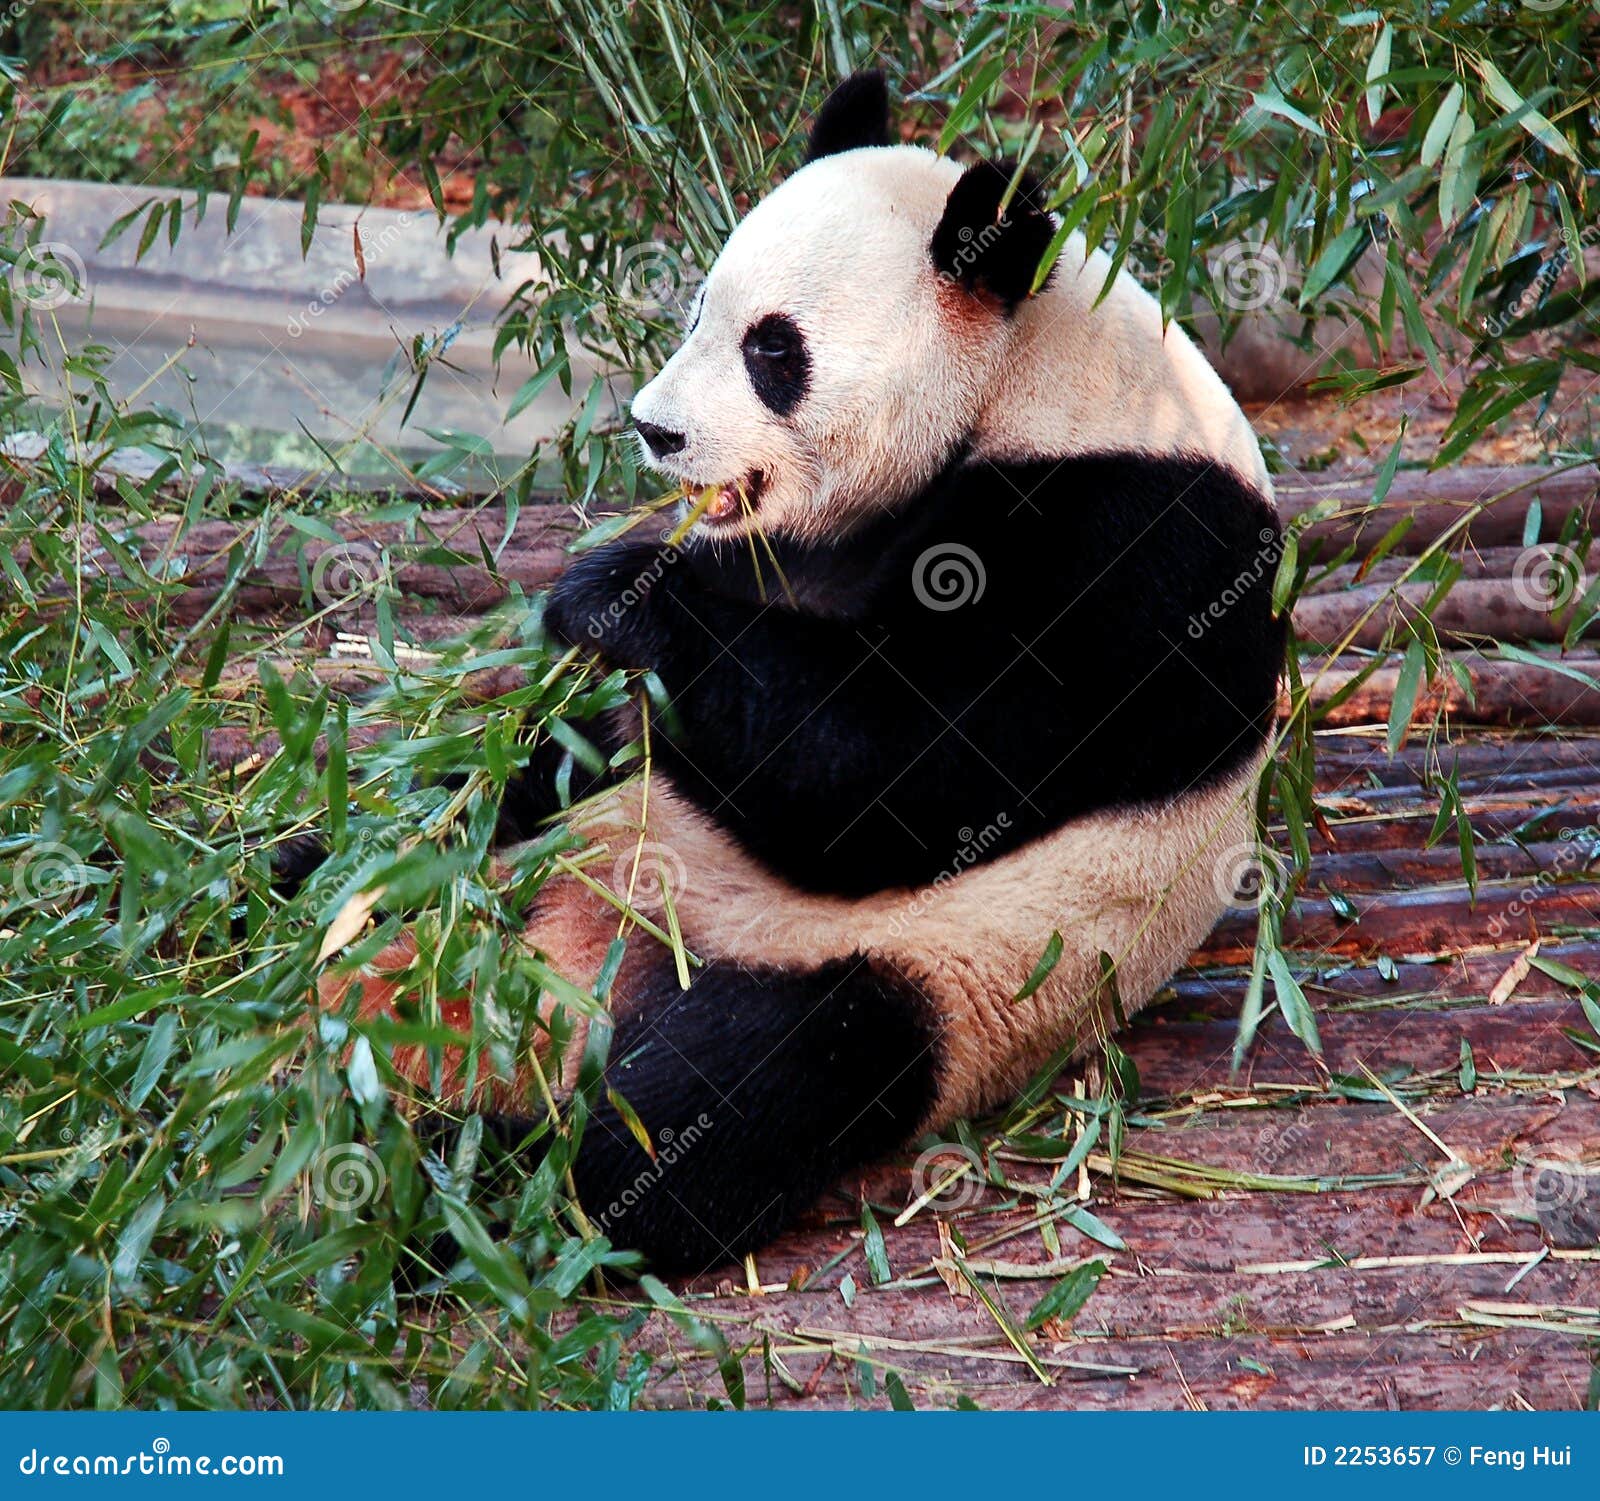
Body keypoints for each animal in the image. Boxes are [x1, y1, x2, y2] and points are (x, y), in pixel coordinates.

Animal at [325, 71, 1283, 1274]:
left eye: (773, 351)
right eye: (698, 311)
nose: (655, 431)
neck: (1032, 378)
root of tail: (581, 955)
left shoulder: (1134, 547)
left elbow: (890, 774)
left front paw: (610, 592)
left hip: (947, 969)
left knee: (745, 1086)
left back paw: (495, 1178)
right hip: (578, 825)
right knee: (434, 828)